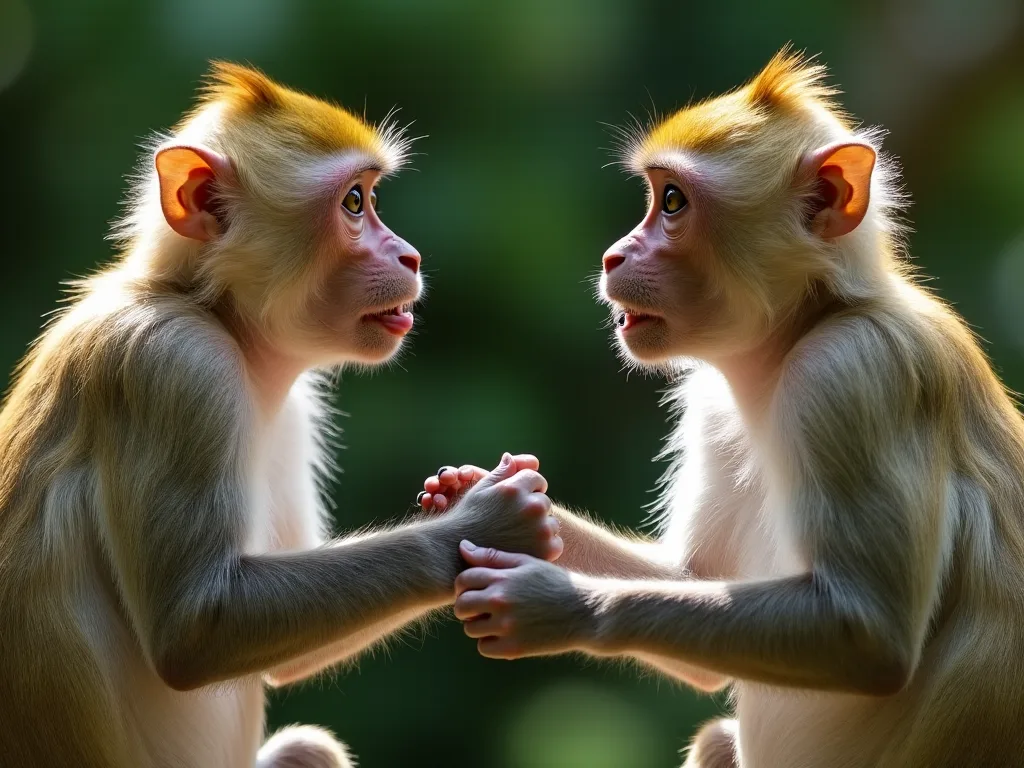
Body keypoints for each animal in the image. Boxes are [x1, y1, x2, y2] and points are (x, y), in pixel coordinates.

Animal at [0, 63, 561, 768]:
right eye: (354, 203)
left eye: (371, 197)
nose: (408, 256)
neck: (210, 310)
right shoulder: (174, 367)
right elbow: (198, 628)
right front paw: (484, 520)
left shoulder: (292, 403)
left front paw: (455, 491)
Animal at [422, 48, 1024, 768]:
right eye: (653, 196)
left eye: (672, 201)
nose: (614, 255)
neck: (796, 335)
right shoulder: (713, 403)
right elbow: (693, 578)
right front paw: (479, 494)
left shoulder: (854, 372)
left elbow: (866, 635)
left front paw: (560, 604)